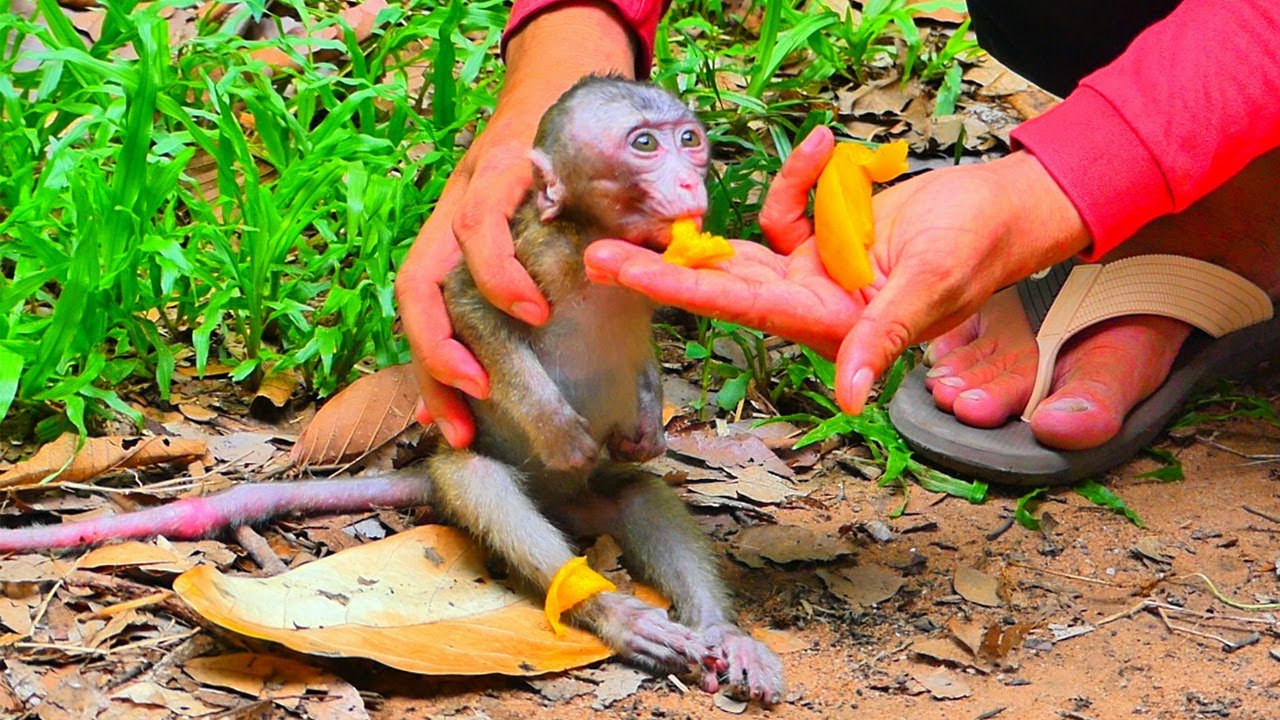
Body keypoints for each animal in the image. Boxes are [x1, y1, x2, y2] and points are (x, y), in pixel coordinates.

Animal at [0, 77, 785, 704]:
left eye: (690, 138)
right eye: (645, 143)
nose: (691, 184)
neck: (591, 234)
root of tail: (560, 499)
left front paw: (647, 424)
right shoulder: (531, 250)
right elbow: (469, 307)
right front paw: (557, 425)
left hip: (593, 497)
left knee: (639, 496)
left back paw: (721, 633)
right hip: (484, 472)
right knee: (483, 484)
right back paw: (611, 612)